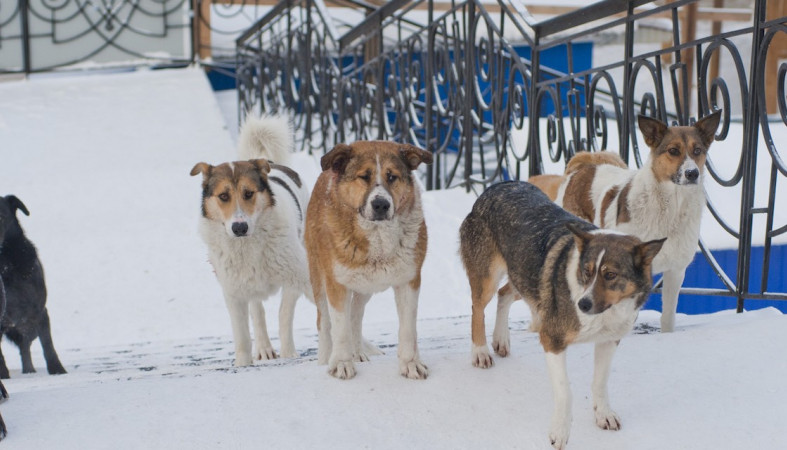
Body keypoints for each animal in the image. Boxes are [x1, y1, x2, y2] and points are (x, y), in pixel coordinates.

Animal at [0, 195, 67, 378]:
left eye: (1, 215)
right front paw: (3, 374)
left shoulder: (40, 312)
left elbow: (48, 345)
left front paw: (57, 369)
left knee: (25, 346)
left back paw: (29, 370)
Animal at [190, 113, 310, 366]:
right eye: (223, 196)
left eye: (249, 193)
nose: (239, 227)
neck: (247, 245)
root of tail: (269, 162)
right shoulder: (233, 292)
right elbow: (242, 334)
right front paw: (243, 363)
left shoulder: (298, 275)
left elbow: (285, 314)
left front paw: (289, 353)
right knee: (257, 311)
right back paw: (264, 347)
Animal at [304, 141, 434, 380]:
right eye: (364, 176)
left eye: (392, 176)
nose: (381, 205)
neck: (378, 239)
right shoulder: (336, 283)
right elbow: (339, 328)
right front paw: (341, 362)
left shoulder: (409, 280)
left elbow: (408, 329)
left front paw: (410, 363)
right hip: (319, 276)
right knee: (324, 320)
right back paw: (326, 357)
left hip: (366, 286)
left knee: (356, 314)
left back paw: (357, 351)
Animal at [498, 112, 720, 338]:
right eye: (673, 151)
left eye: (698, 150)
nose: (692, 173)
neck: (671, 207)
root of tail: (584, 166)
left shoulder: (676, 270)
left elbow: (668, 317)